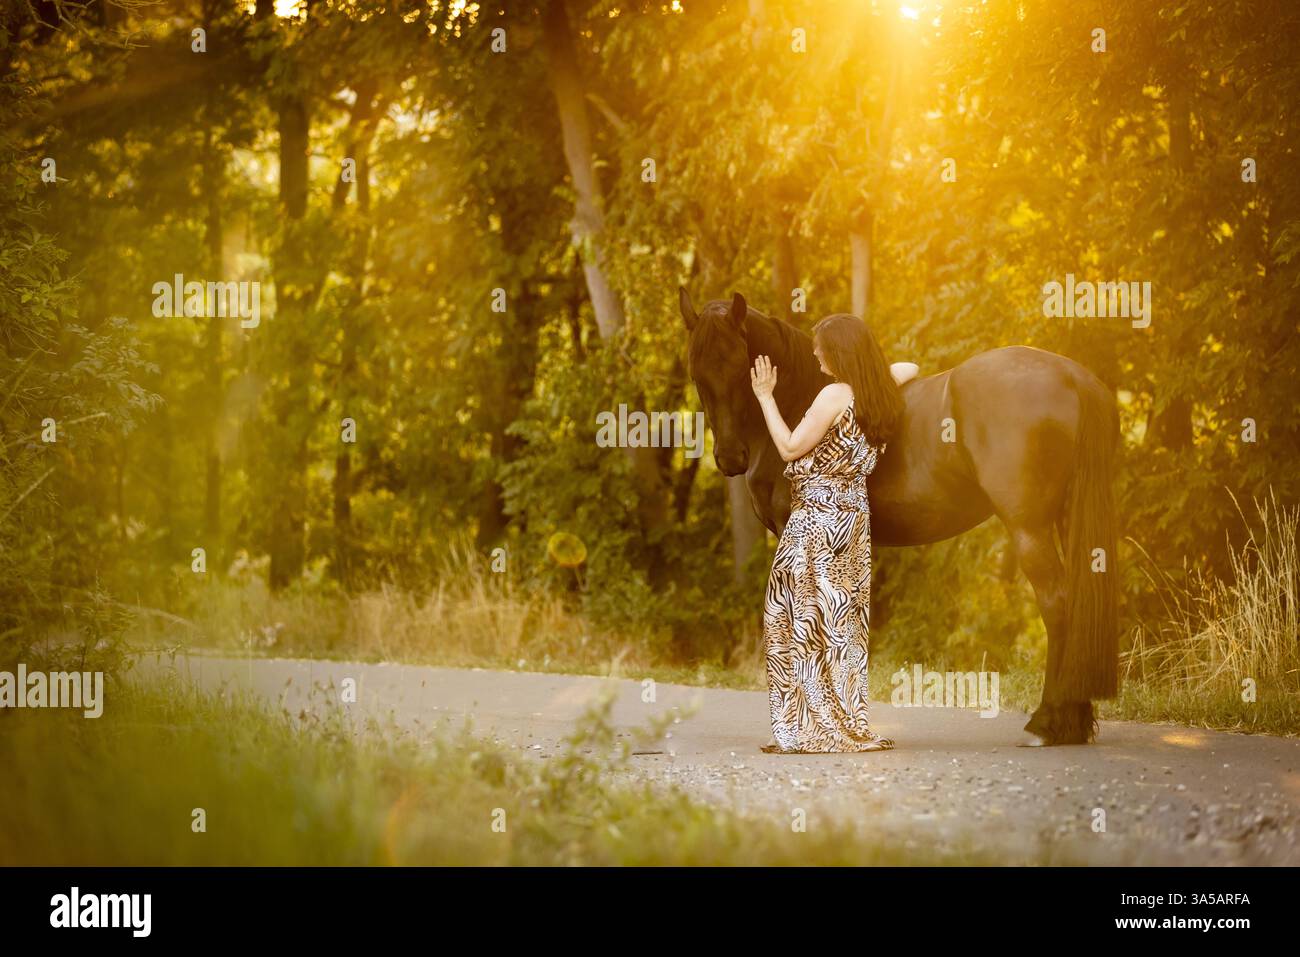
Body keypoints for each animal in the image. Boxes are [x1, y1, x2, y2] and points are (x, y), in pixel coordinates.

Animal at [679, 288, 1121, 746]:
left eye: (741, 367)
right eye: (697, 374)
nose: (730, 458)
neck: (798, 400)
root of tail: (1073, 376)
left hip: (1029, 528)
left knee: (1057, 606)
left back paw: (1047, 722)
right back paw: (1073, 722)